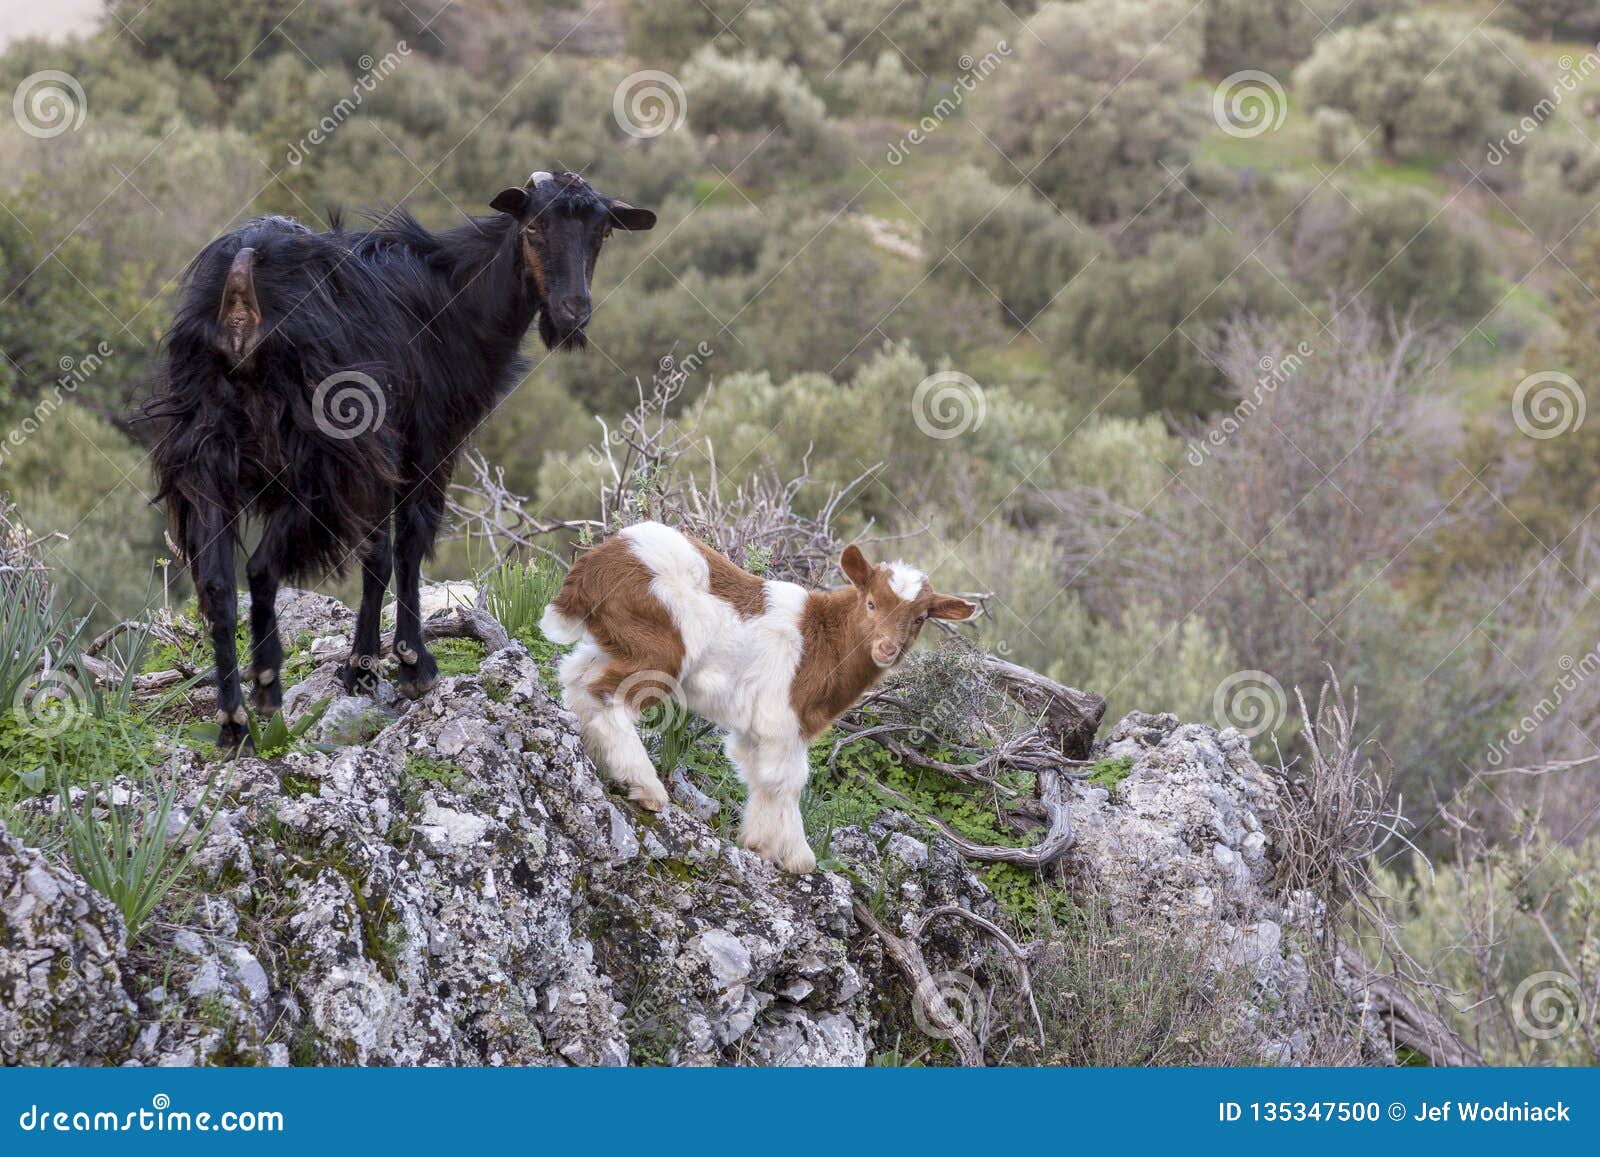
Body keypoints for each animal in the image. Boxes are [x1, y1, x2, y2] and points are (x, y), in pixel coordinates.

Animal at [142, 172, 655, 750]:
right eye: (534, 226)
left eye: (601, 232)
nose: (573, 311)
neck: (453, 296)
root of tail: (241, 291)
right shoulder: (428, 444)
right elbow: (408, 545)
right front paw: (412, 664)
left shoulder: (381, 460)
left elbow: (377, 558)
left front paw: (361, 667)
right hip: (321, 462)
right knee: (260, 567)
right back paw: (268, 687)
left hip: (206, 458)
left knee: (216, 585)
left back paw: (234, 724)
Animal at [539, 522, 977, 872]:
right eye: (871, 603)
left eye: (919, 619)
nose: (887, 648)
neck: (826, 636)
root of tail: (591, 567)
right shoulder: (783, 719)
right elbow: (788, 781)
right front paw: (797, 856)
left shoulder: (757, 728)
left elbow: (761, 777)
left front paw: (760, 844)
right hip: (656, 650)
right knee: (608, 694)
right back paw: (646, 786)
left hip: (615, 642)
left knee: (577, 677)